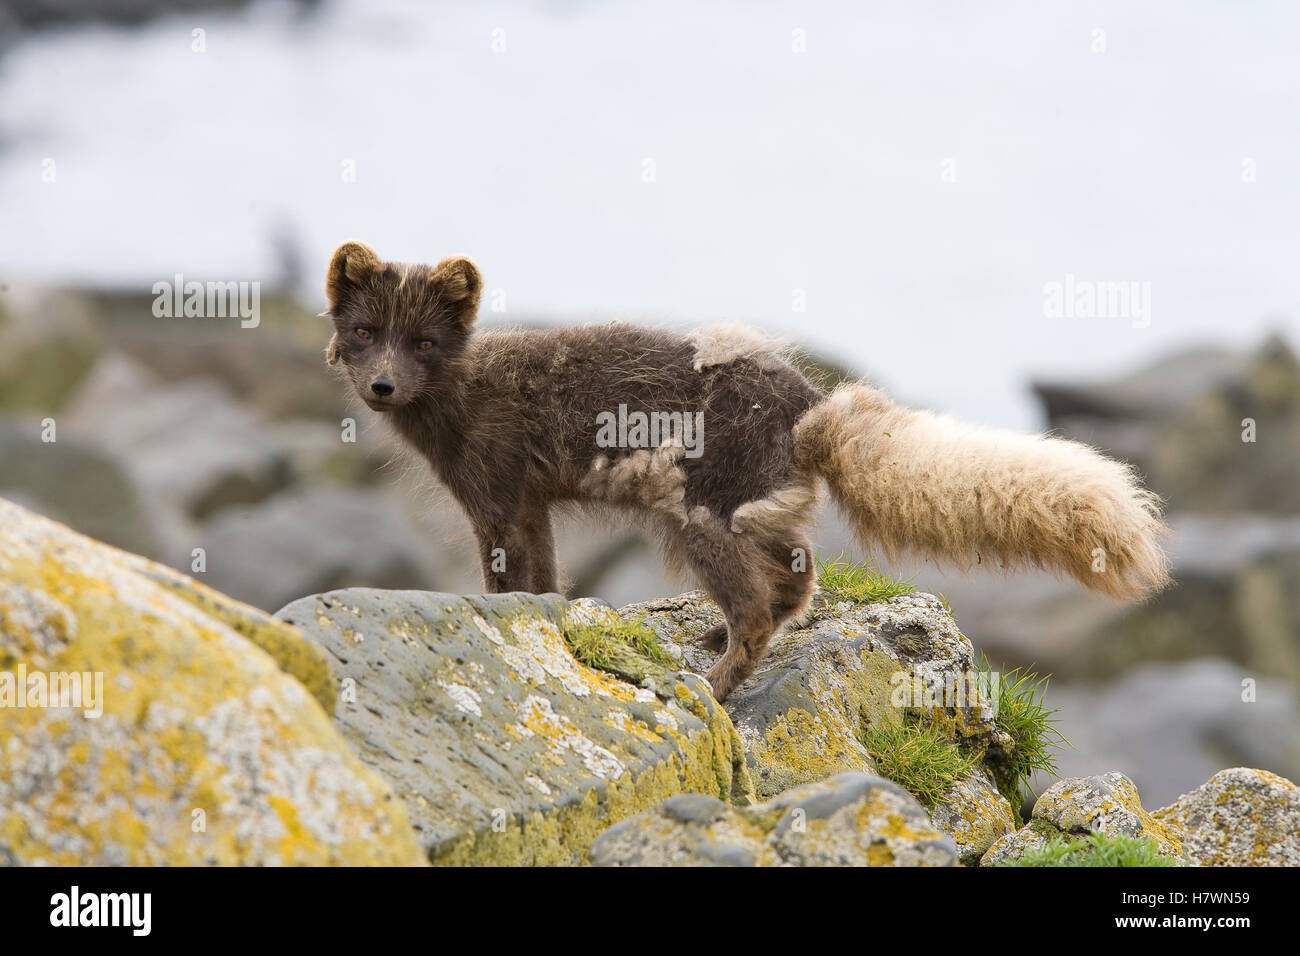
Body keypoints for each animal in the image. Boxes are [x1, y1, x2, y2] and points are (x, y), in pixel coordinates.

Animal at [323, 239, 1171, 701]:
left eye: (424, 342)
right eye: (364, 332)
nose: (383, 386)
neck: (463, 395)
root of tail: (809, 406)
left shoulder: (495, 502)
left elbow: (512, 585)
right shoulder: (529, 504)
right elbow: (546, 583)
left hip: (701, 518)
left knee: (762, 611)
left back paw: (716, 683)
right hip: (749, 510)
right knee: (799, 573)